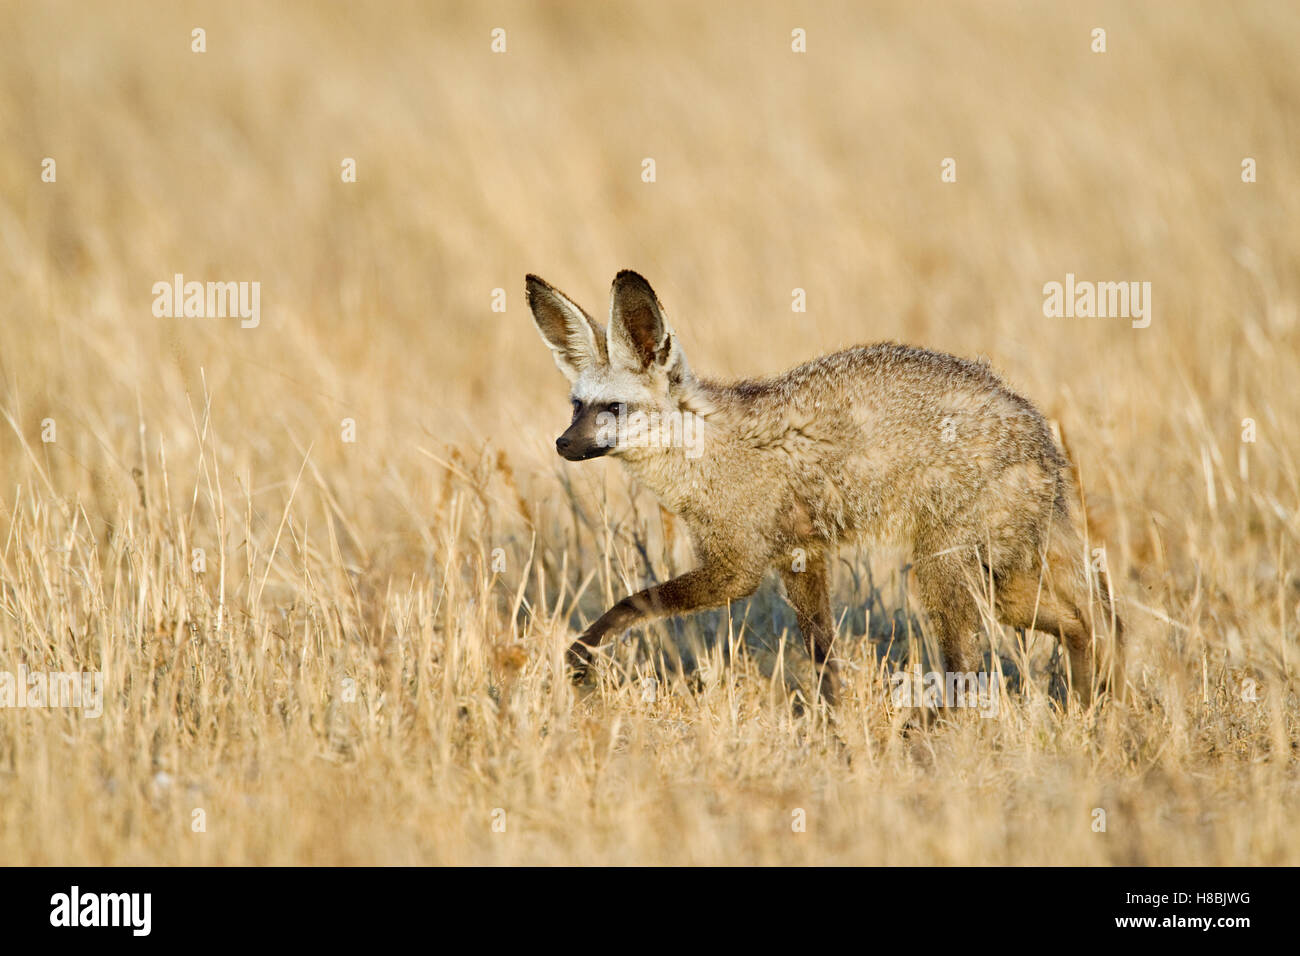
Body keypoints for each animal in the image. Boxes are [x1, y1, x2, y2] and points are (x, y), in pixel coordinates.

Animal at [526, 270, 1123, 708]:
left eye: (613, 408)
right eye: (577, 406)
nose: (562, 443)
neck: (707, 452)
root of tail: (1036, 428)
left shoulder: (737, 569)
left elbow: (633, 601)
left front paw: (581, 651)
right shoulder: (801, 557)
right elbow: (823, 653)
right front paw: (835, 721)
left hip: (951, 573)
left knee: (972, 662)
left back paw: (933, 733)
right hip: (1009, 588)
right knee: (1093, 623)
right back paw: (1092, 709)